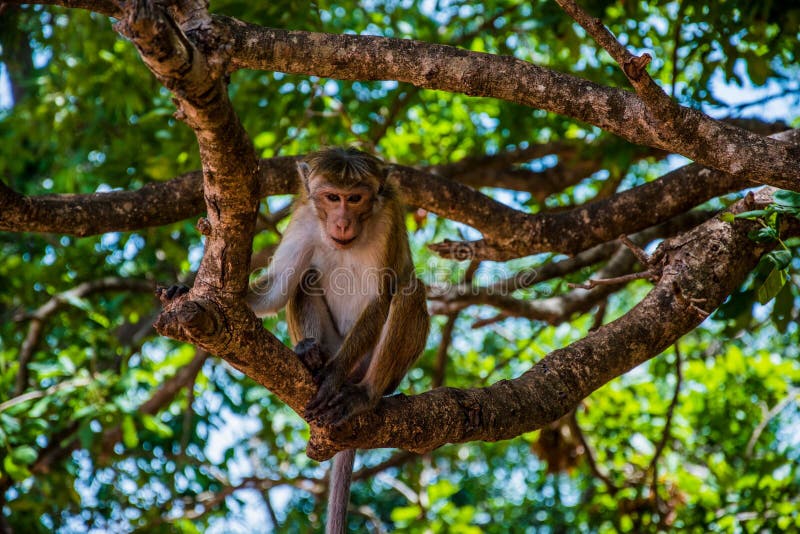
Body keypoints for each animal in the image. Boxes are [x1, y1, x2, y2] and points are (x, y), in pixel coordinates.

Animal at [248, 147, 429, 533]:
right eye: (332, 197)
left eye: (355, 198)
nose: (342, 222)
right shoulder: (304, 218)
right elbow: (279, 286)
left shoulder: (388, 219)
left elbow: (381, 296)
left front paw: (331, 379)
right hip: (334, 343)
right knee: (305, 276)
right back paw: (309, 354)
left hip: (373, 364)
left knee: (408, 290)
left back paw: (363, 393)